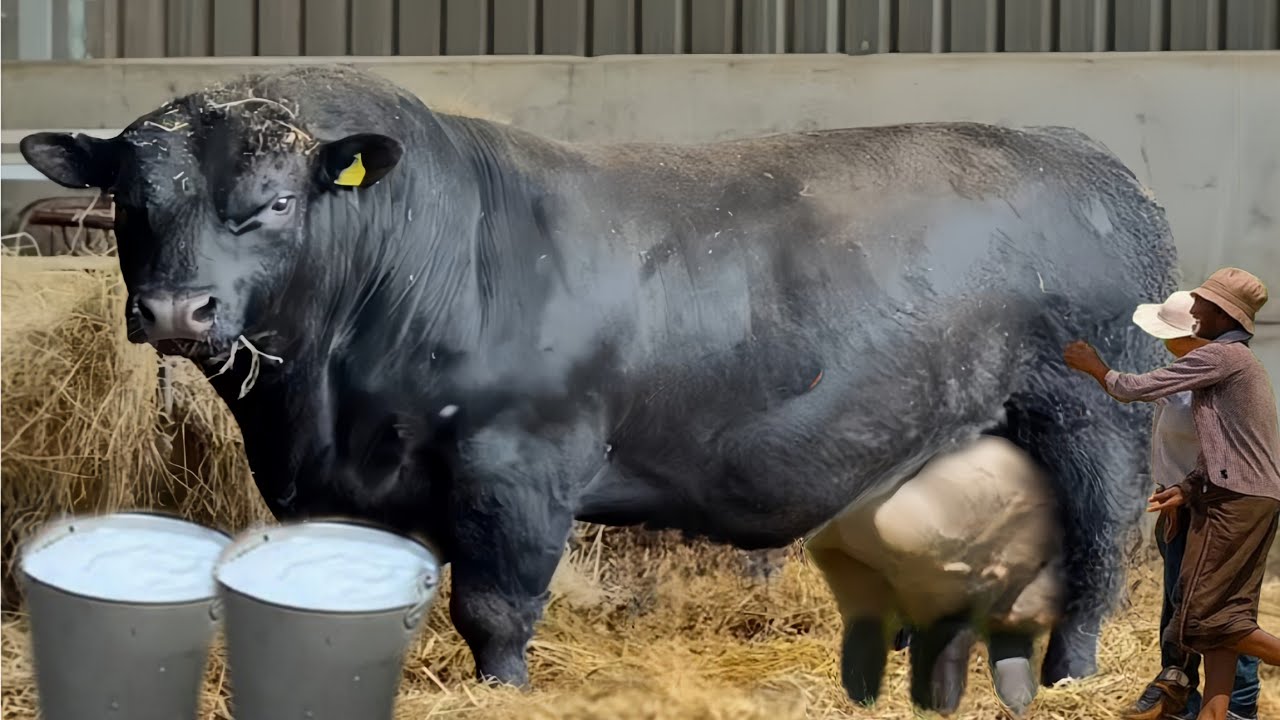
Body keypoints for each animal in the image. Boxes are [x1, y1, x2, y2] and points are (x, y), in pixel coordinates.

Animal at [19, 64, 1178, 715]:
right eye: (132, 202)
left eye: (269, 203)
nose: (179, 312)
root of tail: (1088, 161)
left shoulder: (519, 458)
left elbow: (493, 603)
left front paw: (501, 692)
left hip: (1093, 413)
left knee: (1100, 541)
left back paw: (1072, 674)